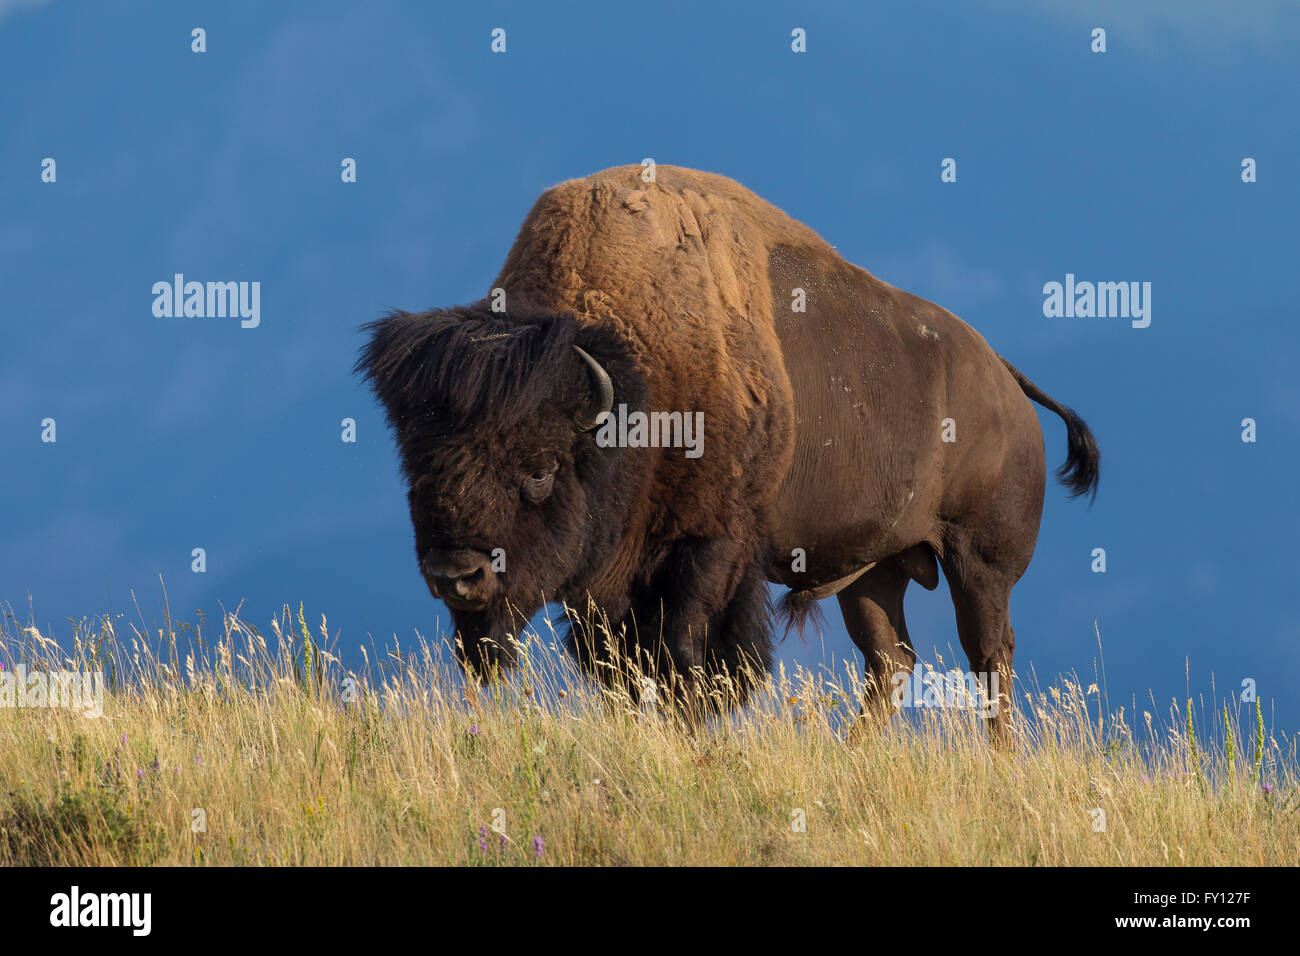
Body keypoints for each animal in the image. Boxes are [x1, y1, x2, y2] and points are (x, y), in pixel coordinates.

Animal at [356, 165, 1099, 742]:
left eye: (539, 471)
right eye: (417, 472)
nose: (456, 576)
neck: (638, 385)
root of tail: (1004, 377)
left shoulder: (708, 548)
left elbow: (687, 654)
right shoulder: (612, 582)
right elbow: (624, 666)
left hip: (980, 563)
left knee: (989, 657)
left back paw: (998, 762)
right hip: (874, 570)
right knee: (890, 661)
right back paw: (852, 753)